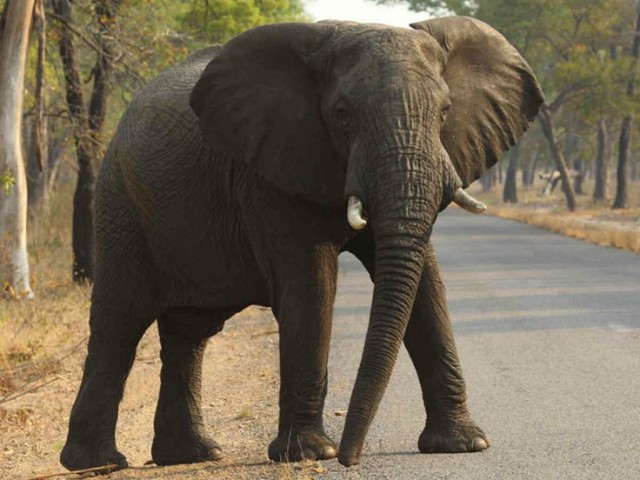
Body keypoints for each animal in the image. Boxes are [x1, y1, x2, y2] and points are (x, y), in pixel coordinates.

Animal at [60, 16, 543, 472]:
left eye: (444, 112)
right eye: (342, 114)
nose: (352, 458)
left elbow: (427, 283)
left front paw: (464, 444)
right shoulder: (269, 171)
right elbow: (312, 285)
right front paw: (310, 453)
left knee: (188, 333)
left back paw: (192, 455)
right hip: (120, 203)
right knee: (120, 322)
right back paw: (99, 464)